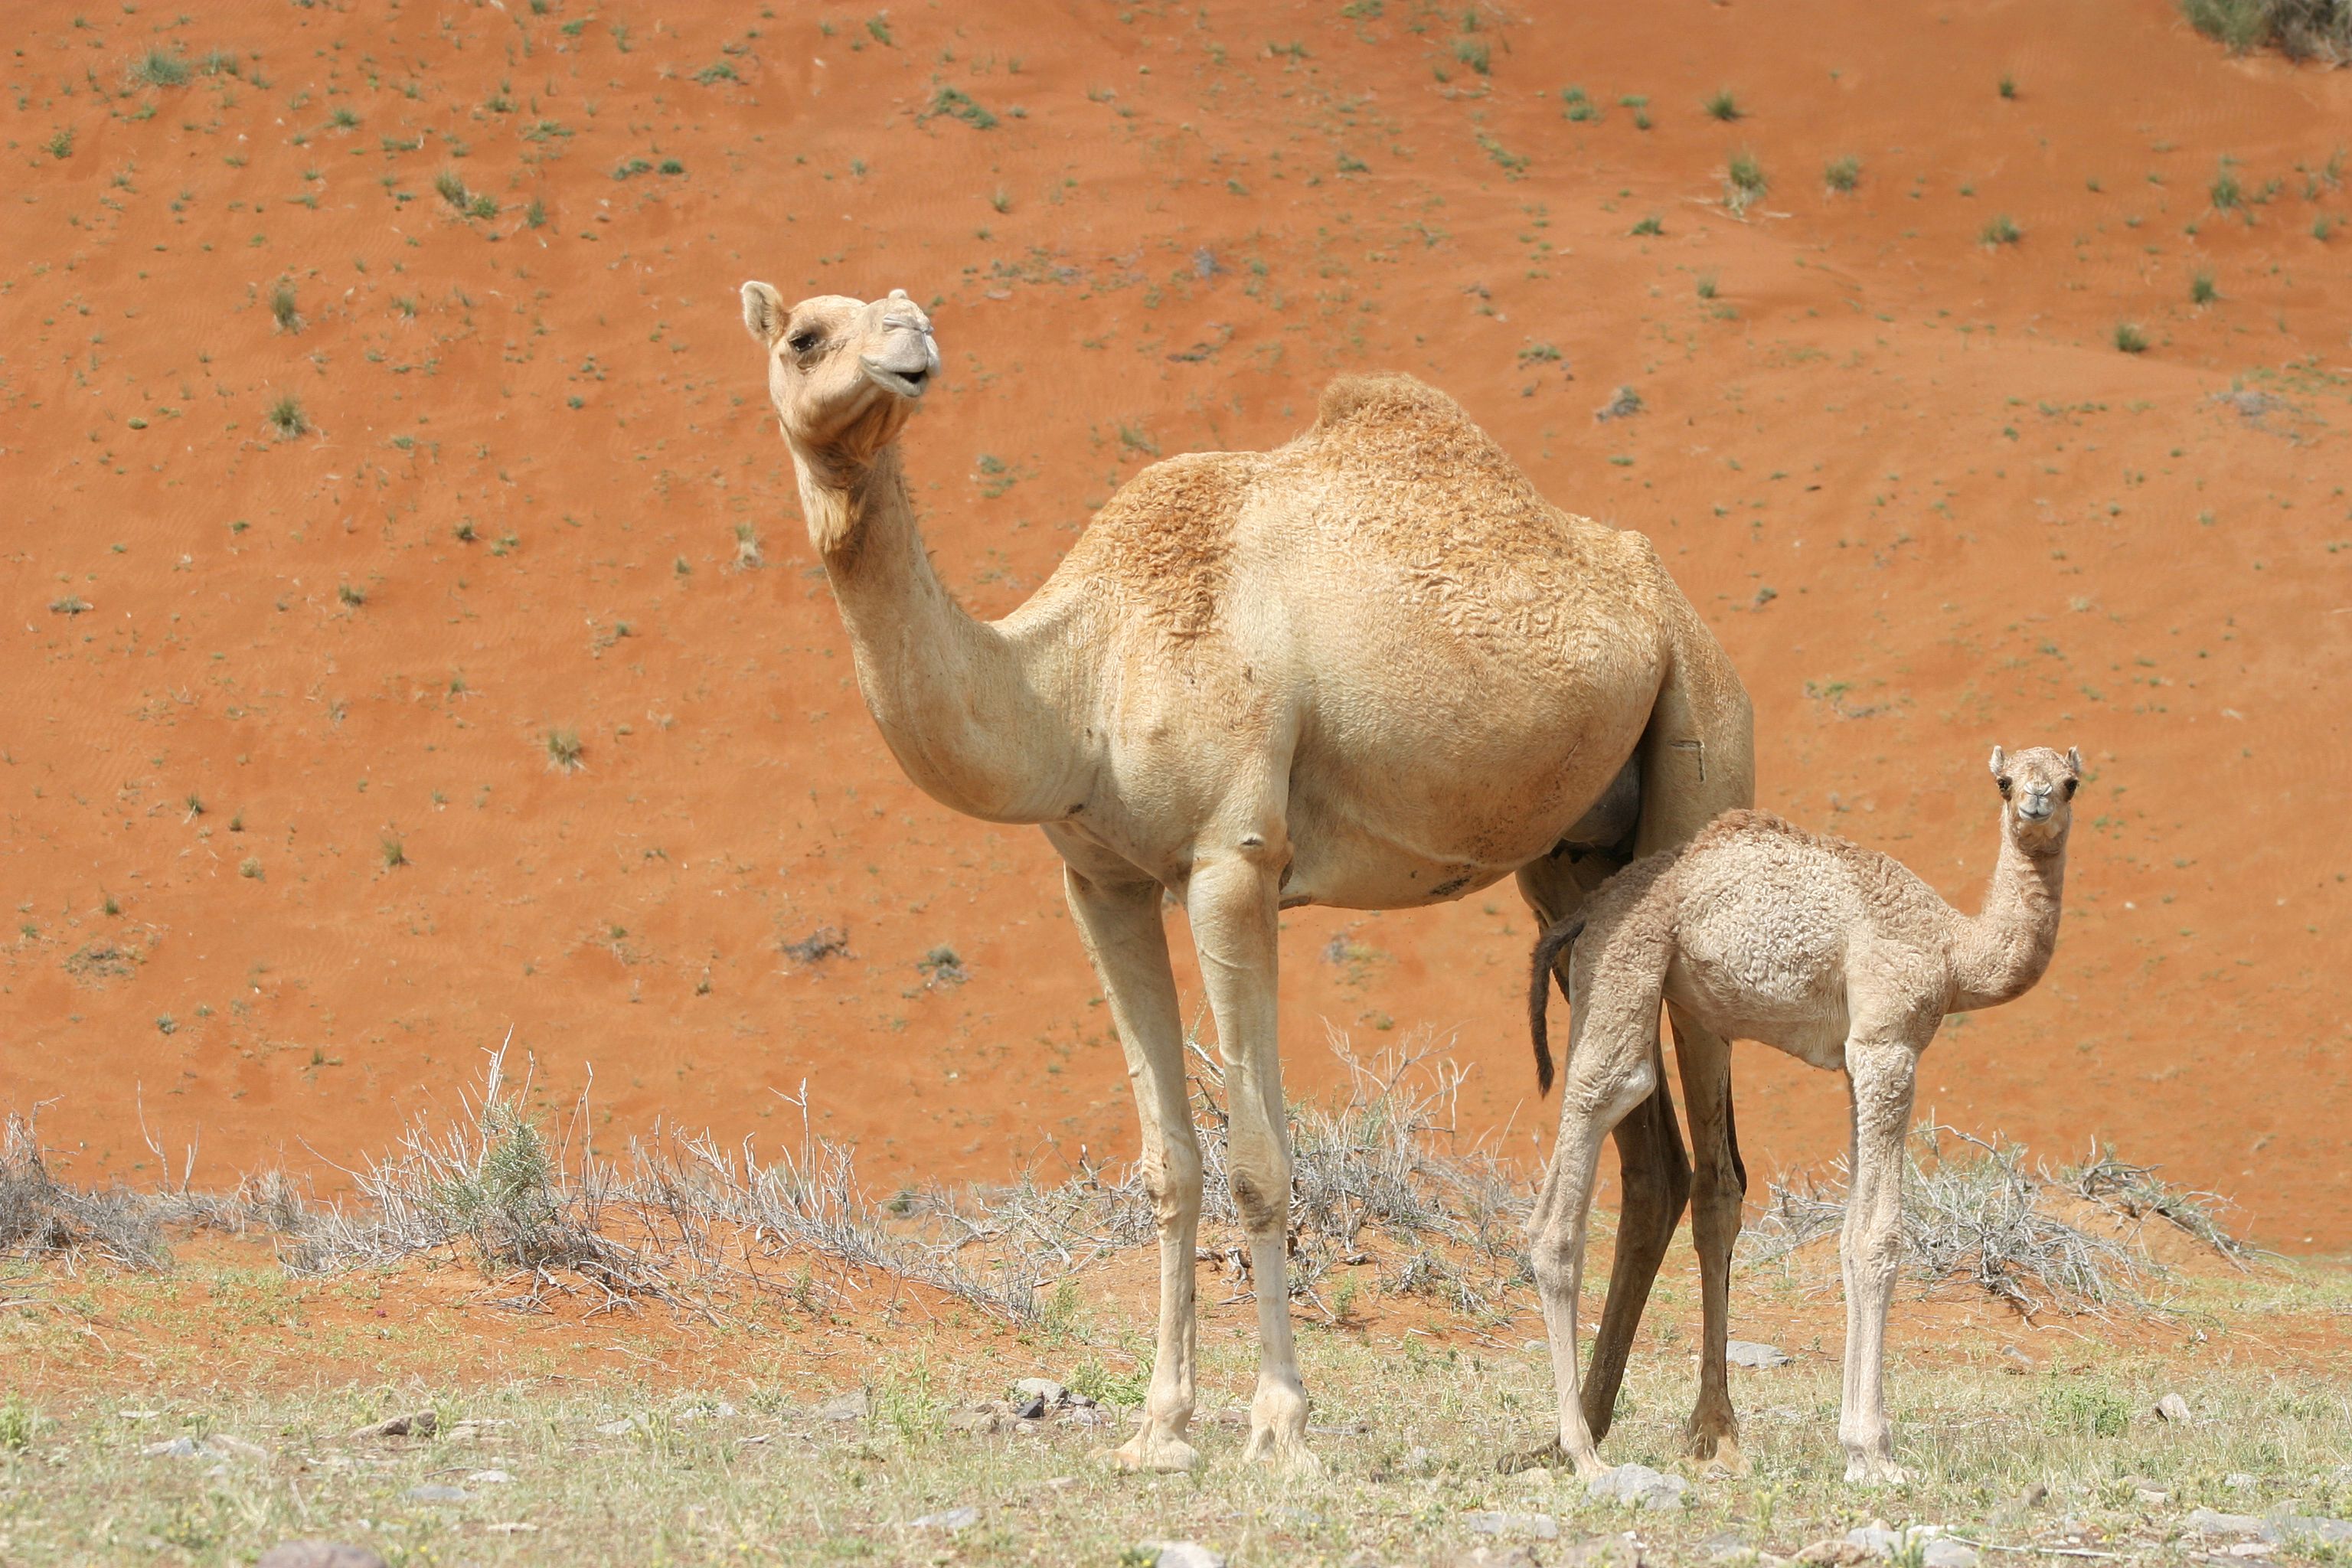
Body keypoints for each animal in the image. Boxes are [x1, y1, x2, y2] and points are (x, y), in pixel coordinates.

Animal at [737, 283, 1755, 1473]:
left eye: (905, 313)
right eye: (804, 336)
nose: (911, 350)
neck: (1082, 676)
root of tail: (1685, 616)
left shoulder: (1234, 862)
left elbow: (1260, 1162)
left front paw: (1279, 1424)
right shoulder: (1103, 881)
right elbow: (1170, 1163)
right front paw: (1159, 1428)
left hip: (1704, 747)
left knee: (1719, 1165)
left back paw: (1710, 1432)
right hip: (1572, 865)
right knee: (1656, 1159)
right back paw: (1575, 1429)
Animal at [1524, 745, 2082, 1483]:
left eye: (2070, 782)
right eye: (2004, 782)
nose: (2036, 802)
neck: (1954, 951)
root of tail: (1588, 912)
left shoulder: (1855, 1059)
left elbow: (1850, 1237)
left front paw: (1859, 1447)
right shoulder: (1888, 1044)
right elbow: (1878, 1238)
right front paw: (1875, 1453)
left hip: (1613, 979)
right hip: (1630, 964)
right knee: (1582, 1161)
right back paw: (1583, 1452)